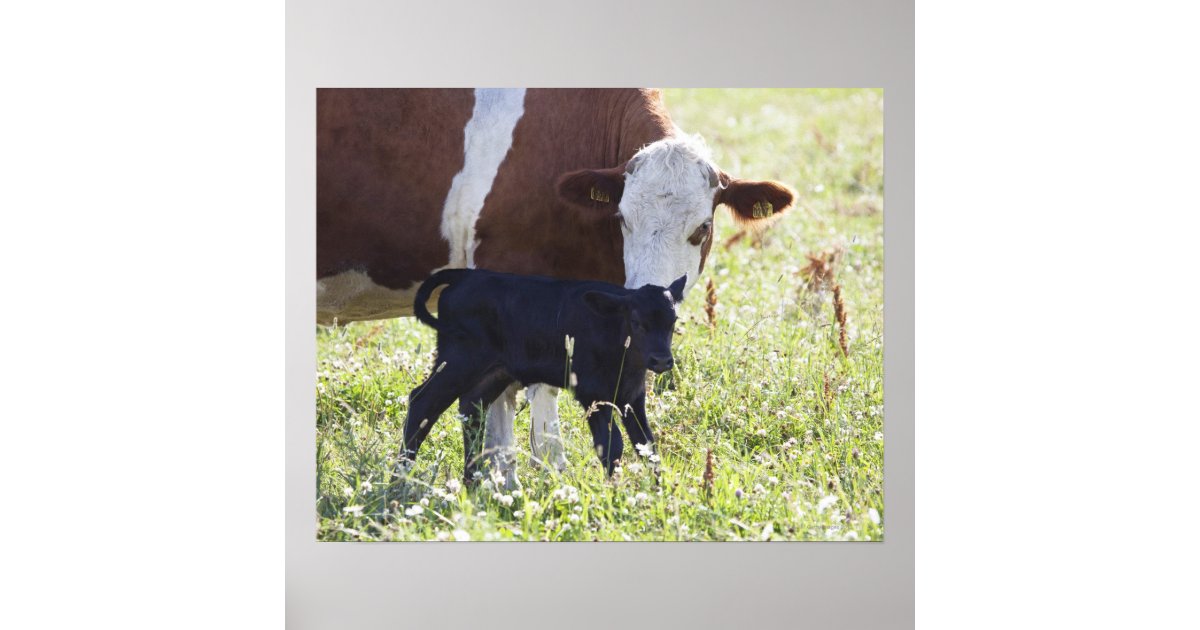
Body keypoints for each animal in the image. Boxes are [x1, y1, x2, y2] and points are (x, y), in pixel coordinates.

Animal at [402, 269, 687, 478]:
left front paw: (657, 491)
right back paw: (401, 477)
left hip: (494, 372)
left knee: (472, 408)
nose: (662, 360)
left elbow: (646, 445)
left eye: (672, 321)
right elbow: (611, 445)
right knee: (422, 403)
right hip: (458, 361)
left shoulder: (632, 398)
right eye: (637, 322)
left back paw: (471, 480)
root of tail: (465, 275)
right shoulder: (592, 394)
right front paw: (614, 492)